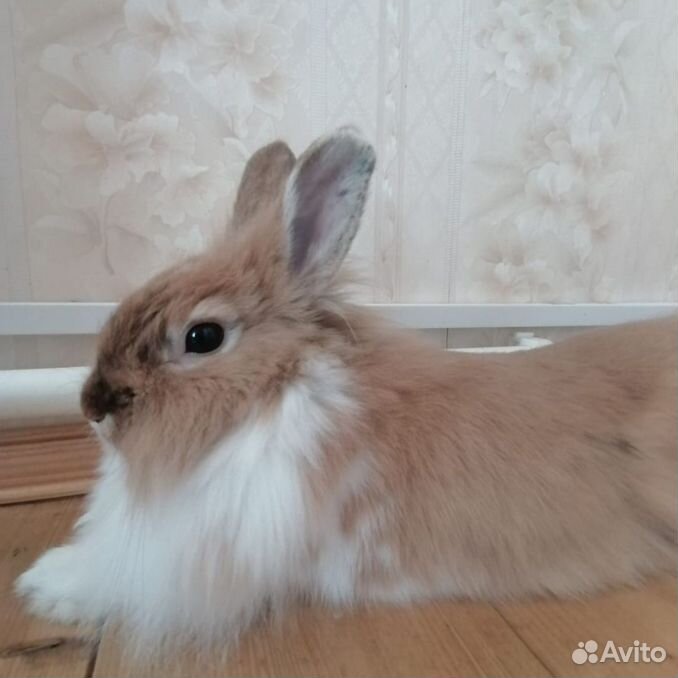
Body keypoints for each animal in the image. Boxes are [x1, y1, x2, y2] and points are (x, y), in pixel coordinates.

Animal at [16, 127, 677, 652]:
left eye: (202, 336)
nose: (92, 406)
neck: (277, 399)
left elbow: (123, 577)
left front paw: (48, 584)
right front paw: (43, 580)